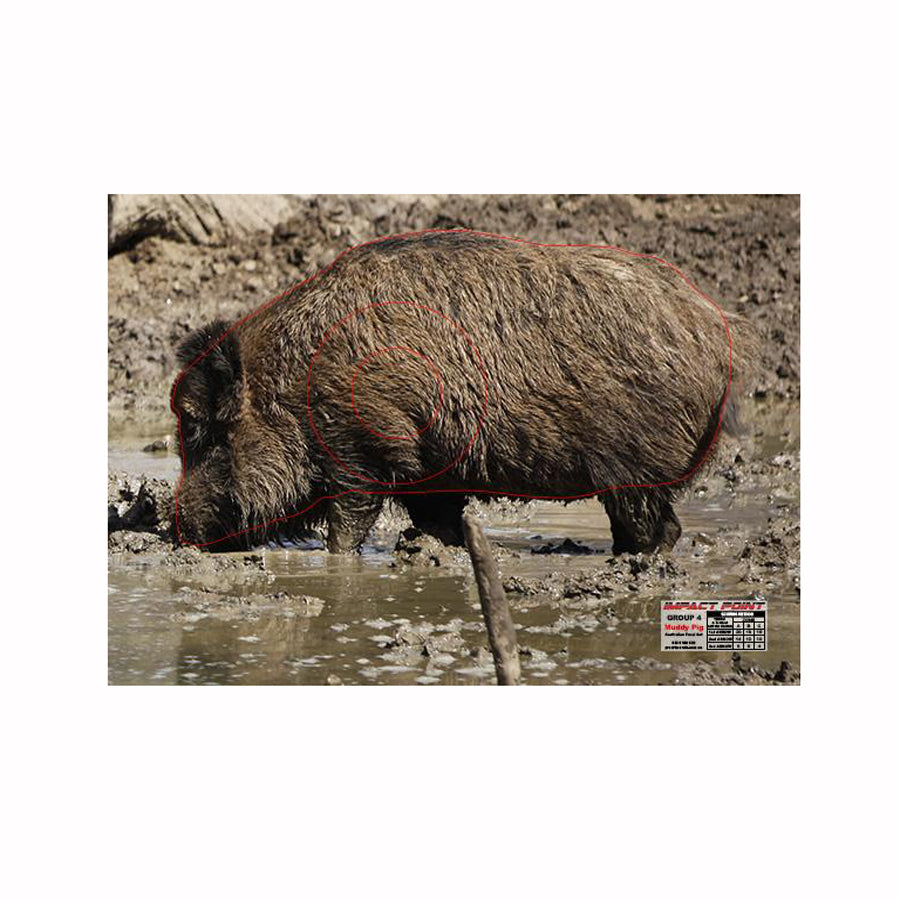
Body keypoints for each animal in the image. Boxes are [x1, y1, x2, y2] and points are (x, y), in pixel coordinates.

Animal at [171, 230, 756, 553]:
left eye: (203, 430)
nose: (179, 529)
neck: (293, 383)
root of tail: (721, 333)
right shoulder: (431, 470)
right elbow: (439, 523)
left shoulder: (365, 446)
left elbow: (347, 526)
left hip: (635, 465)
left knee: (660, 529)